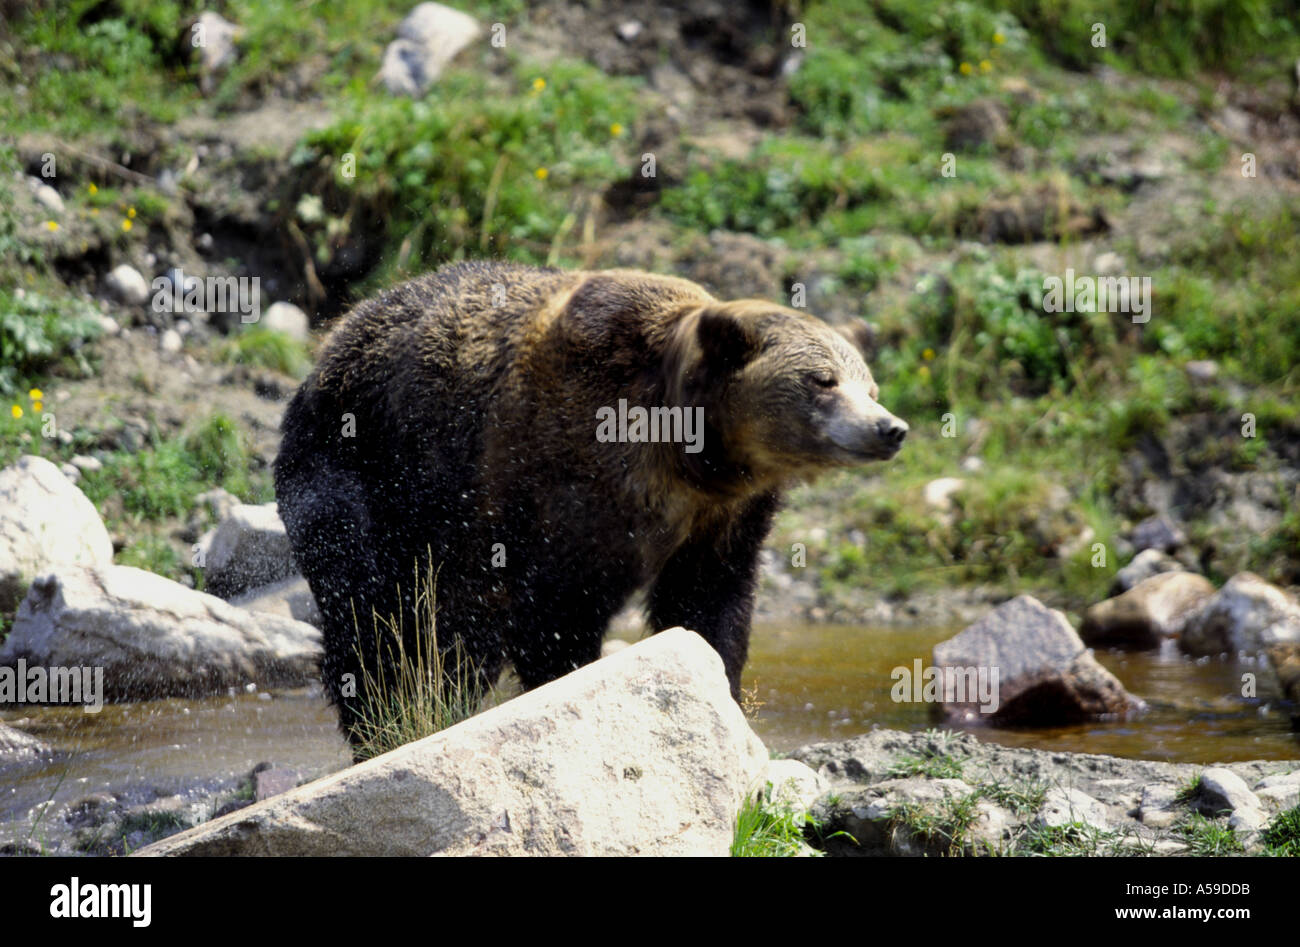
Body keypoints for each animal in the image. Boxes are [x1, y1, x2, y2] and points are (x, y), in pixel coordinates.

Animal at [273, 261, 907, 751]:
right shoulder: (564, 475)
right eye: (822, 379)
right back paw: (386, 723)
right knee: (381, 618)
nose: (889, 428)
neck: (690, 454)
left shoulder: (726, 518)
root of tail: (334, 339)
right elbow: (554, 612)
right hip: (367, 473)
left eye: (869, 385)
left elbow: (711, 603)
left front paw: (724, 689)